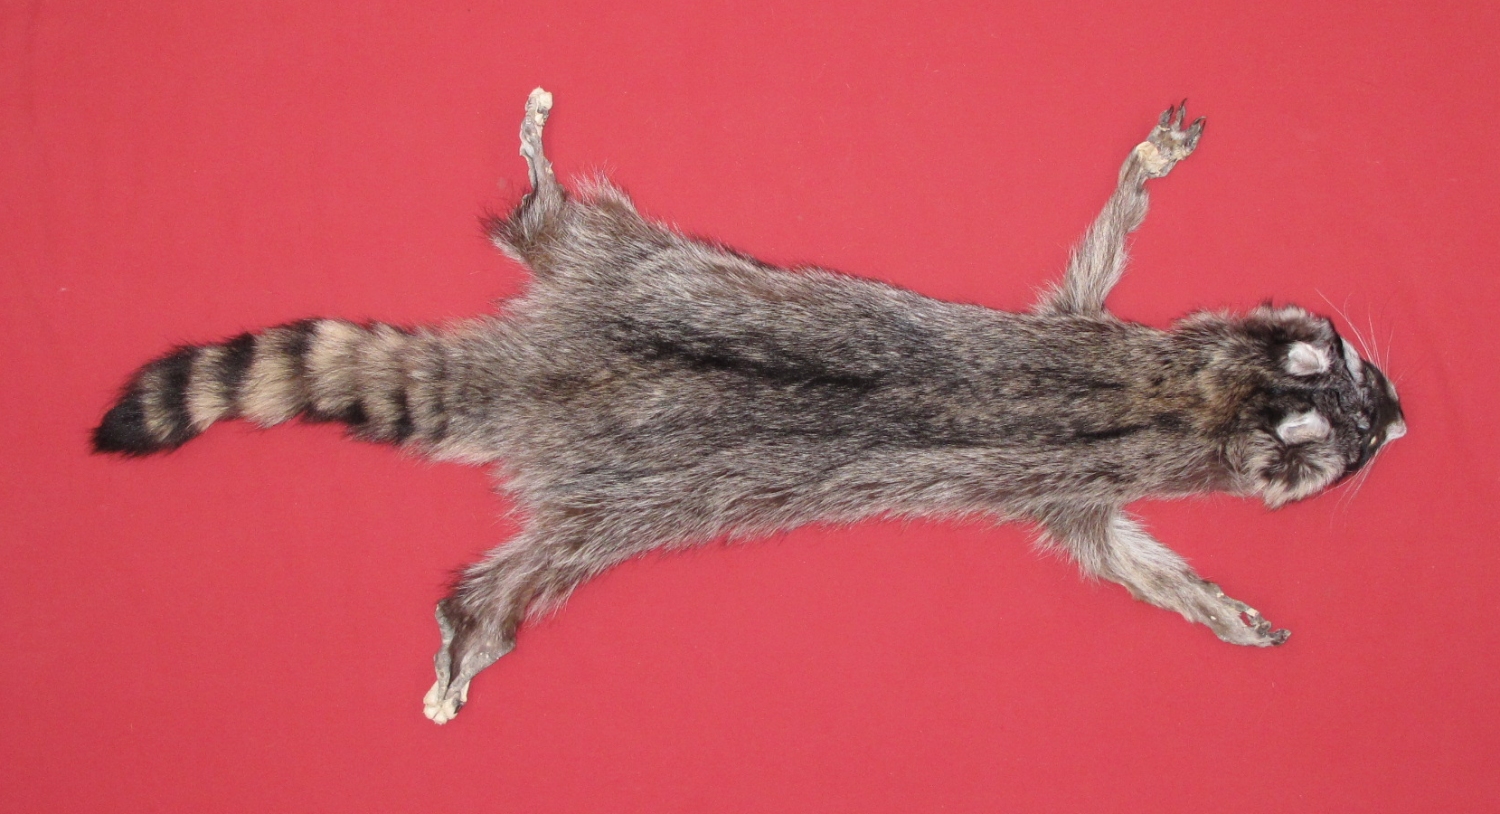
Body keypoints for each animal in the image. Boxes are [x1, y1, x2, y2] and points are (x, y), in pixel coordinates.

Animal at [93, 90, 1406, 724]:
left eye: (1343, 357)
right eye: (1338, 450)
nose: (1399, 414)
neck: (1200, 391)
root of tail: (533, 376)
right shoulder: (1085, 441)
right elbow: (1128, 541)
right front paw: (1218, 606)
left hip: (624, 279)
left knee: (560, 236)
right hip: (610, 478)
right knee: (506, 587)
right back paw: (469, 629)